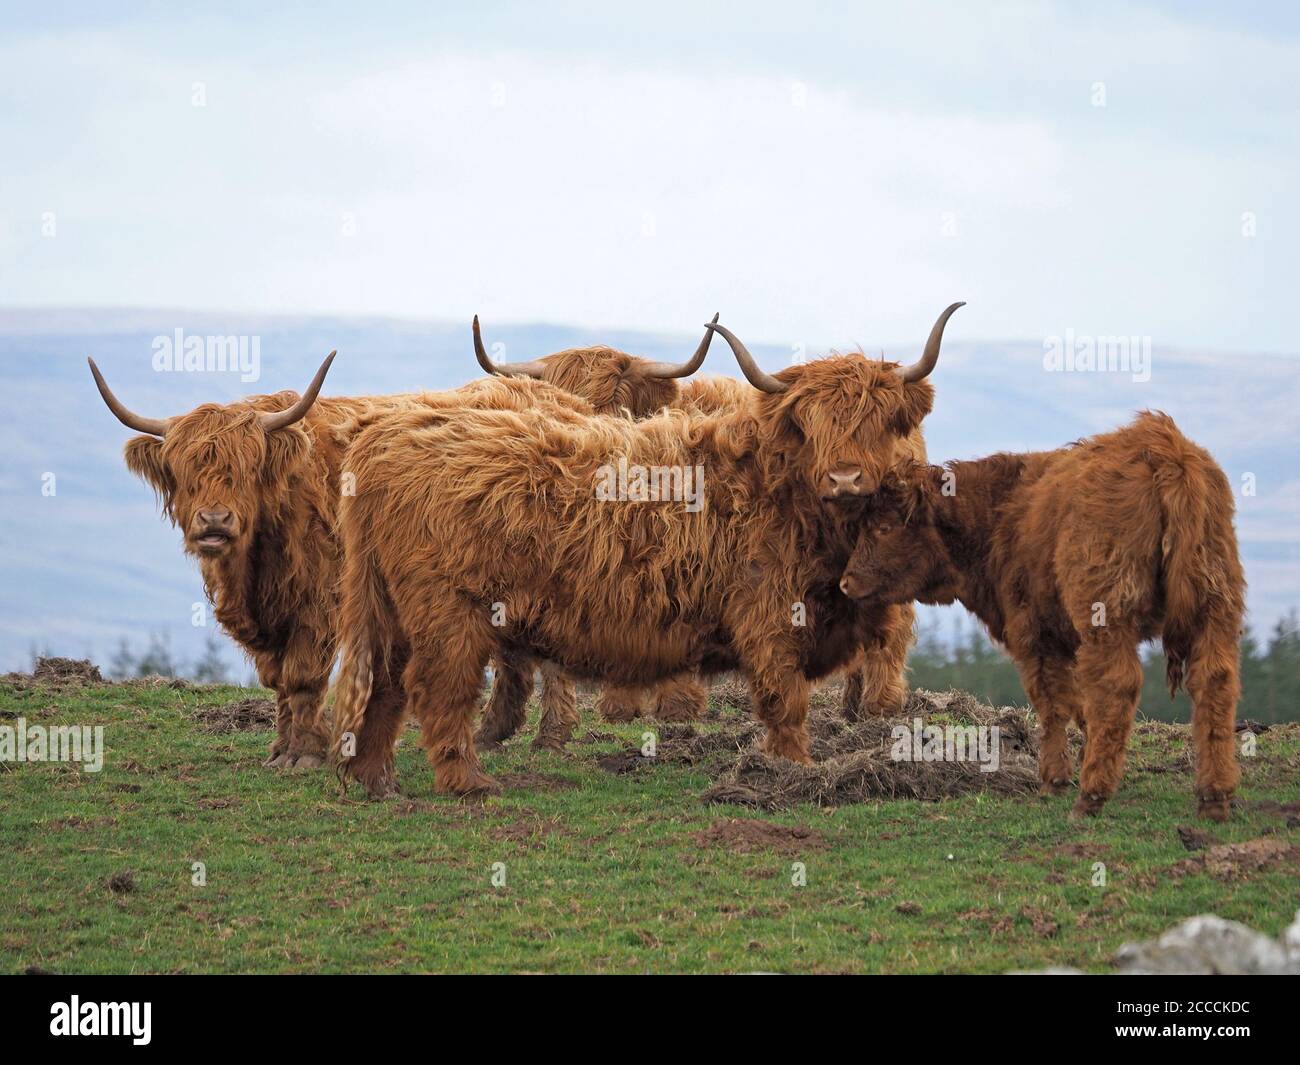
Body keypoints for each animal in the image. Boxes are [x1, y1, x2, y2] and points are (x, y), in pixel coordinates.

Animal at [330, 303, 964, 798]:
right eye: (809, 422)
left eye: (878, 419)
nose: (846, 479)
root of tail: (383, 436)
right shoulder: (767, 613)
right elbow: (784, 698)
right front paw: (794, 771)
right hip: (450, 610)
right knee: (439, 685)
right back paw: (467, 781)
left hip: (392, 606)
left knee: (386, 682)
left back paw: (374, 780)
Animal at [836, 411, 1245, 821]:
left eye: (883, 527)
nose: (846, 582)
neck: (999, 513)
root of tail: (1161, 444)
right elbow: (1077, 705)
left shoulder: (1033, 634)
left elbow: (1053, 704)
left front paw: (1055, 780)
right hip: (1215, 607)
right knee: (1214, 682)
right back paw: (1214, 797)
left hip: (1107, 615)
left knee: (1117, 686)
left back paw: (1092, 796)